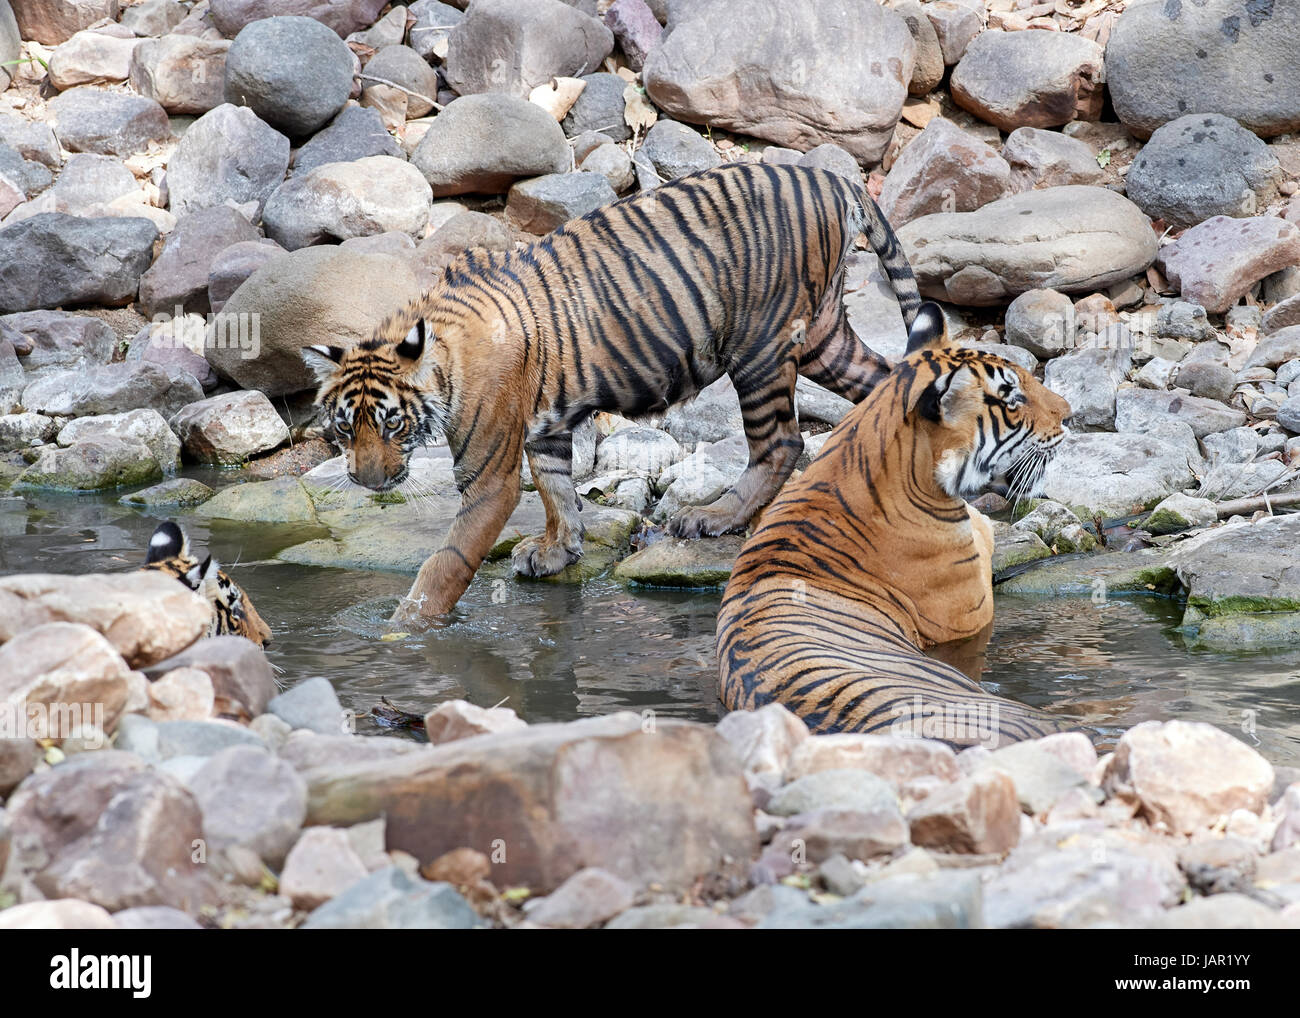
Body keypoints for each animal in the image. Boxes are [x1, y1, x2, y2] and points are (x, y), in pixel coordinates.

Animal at [303, 162, 924, 624]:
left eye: (392, 423)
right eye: (344, 427)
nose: (368, 482)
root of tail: (835, 178)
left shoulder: (488, 476)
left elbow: (449, 559)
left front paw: (406, 626)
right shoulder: (544, 429)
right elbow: (557, 491)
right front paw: (556, 552)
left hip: (762, 348)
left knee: (782, 445)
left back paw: (714, 517)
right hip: (821, 337)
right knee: (887, 381)